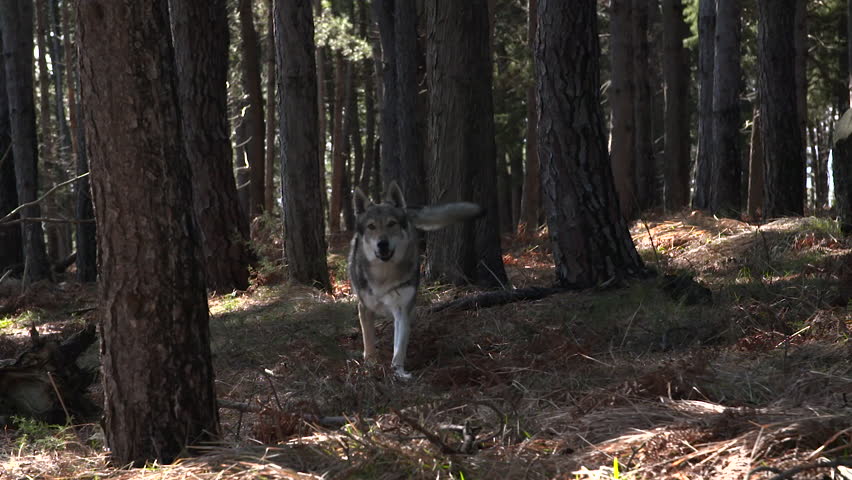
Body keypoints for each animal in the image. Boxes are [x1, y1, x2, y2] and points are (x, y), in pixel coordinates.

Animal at [348, 182, 482, 379]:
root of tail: (407, 210)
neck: (383, 274)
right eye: (371, 226)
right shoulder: (364, 307)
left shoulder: (401, 309)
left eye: (391, 224)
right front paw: (370, 366)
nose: (382, 244)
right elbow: (369, 341)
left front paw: (398, 372)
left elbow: (400, 347)